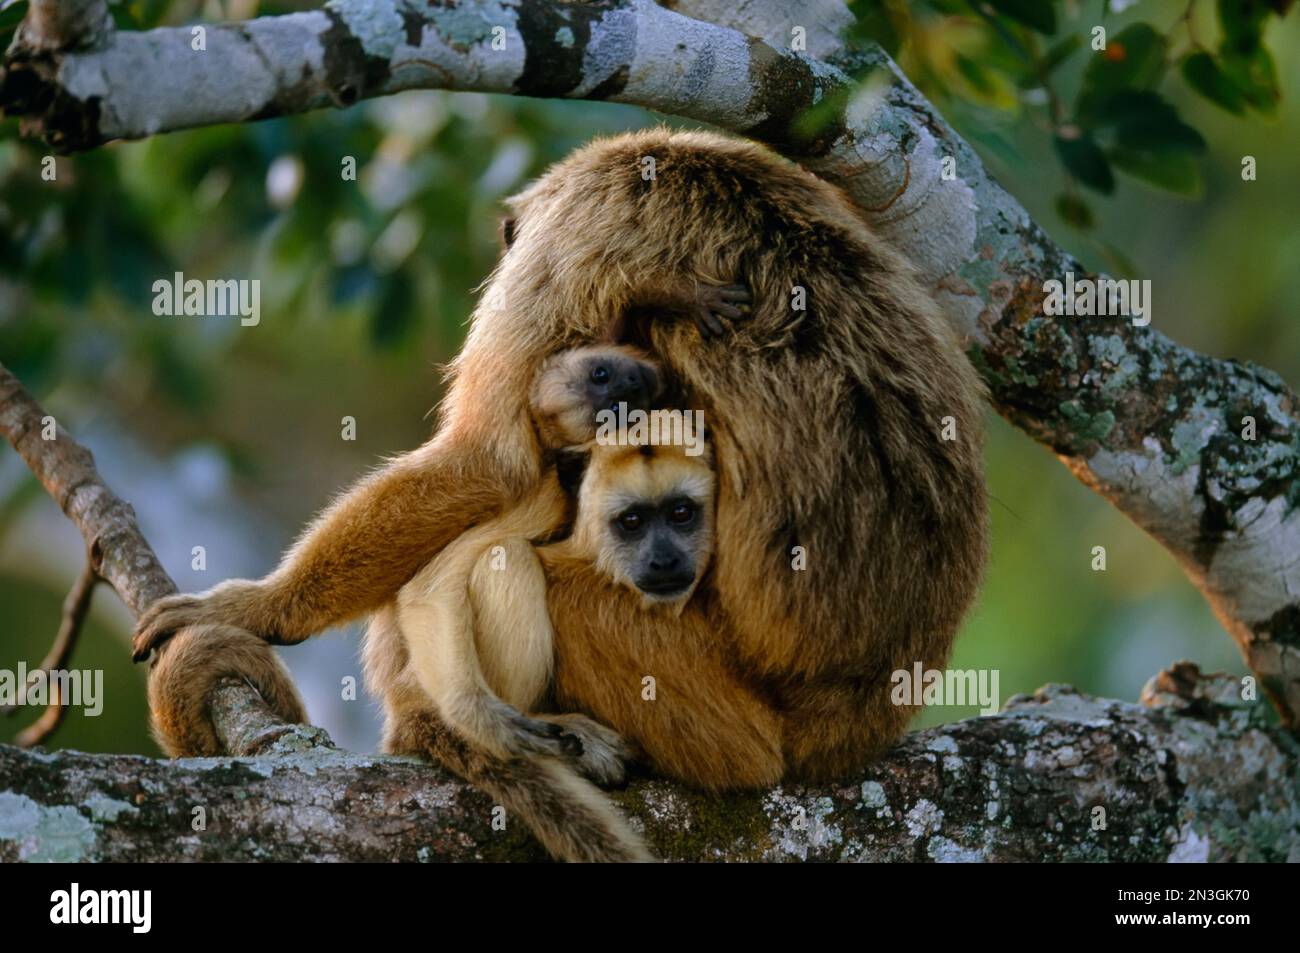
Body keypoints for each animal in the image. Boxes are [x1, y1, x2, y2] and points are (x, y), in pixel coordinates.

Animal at [135, 128, 987, 797]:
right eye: (610, 382)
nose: (624, 389)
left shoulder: (568, 241)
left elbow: (486, 465)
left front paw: (255, 606)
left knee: (551, 576)